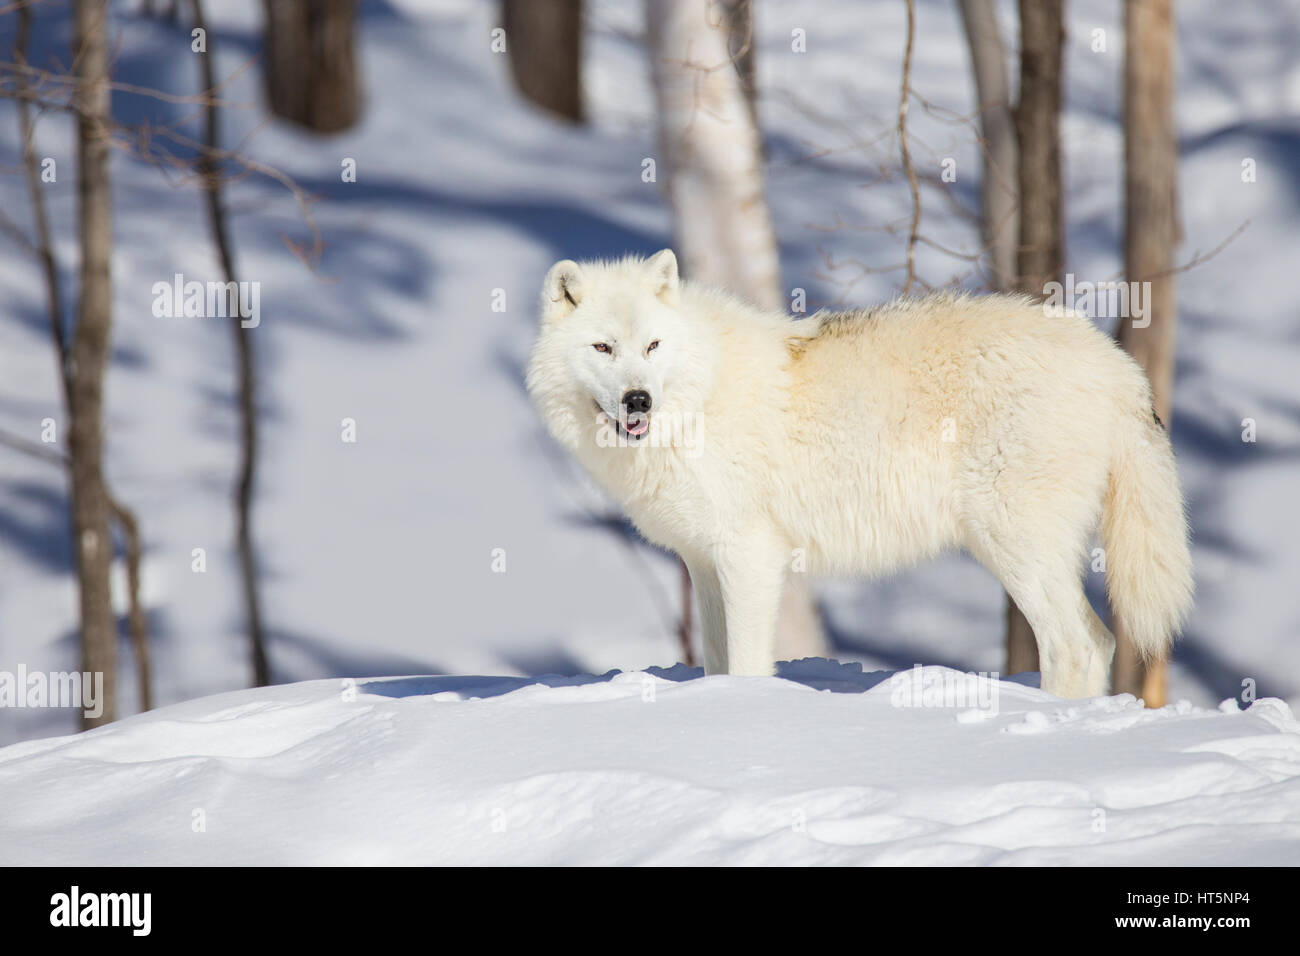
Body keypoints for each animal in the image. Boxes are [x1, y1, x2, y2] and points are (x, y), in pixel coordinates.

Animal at [526, 249, 1193, 698]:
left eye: (653, 347)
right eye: (603, 348)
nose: (637, 400)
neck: (698, 400)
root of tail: (1119, 366)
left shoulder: (750, 555)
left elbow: (746, 665)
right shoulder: (703, 562)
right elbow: (716, 663)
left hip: (1014, 545)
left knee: (1076, 645)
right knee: (1099, 642)